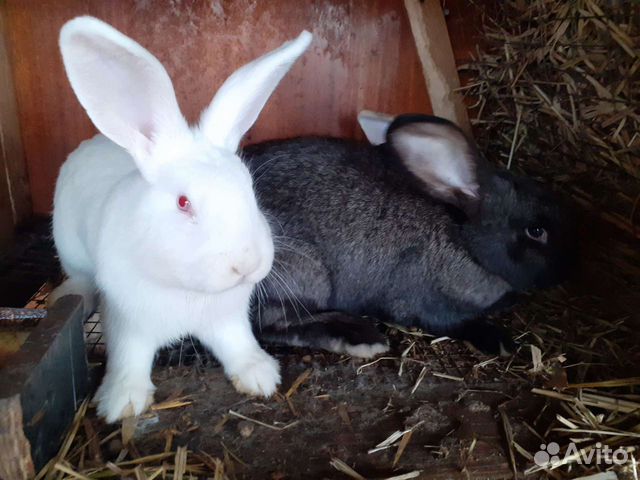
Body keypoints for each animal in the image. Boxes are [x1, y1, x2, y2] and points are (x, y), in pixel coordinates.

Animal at [48, 16, 312, 423]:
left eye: (249, 188)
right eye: (184, 202)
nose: (246, 263)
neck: (188, 290)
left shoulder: (228, 318)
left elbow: (237, 343)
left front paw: (259, 374)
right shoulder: (128, 322)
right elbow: (128, 358)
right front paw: (122, 401)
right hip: (70, 248)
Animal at [244, 113, 577, 356]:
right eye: (536, 231)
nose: (569, 269)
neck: (465, 244)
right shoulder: (423, 305)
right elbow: (455, 323)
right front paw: (499, 341)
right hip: (304, 272)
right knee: (269, 324)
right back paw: (360, 338)